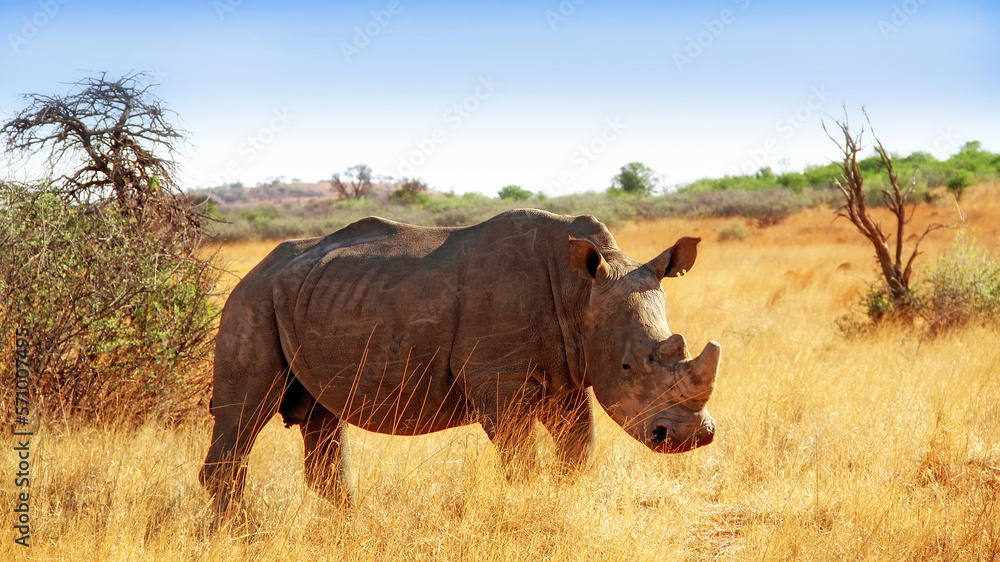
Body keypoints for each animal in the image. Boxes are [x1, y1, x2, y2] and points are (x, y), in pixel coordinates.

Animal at [200, 209, 720, 513]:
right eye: (628, 367)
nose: (689, 439)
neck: (581, 291)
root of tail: (254, 270)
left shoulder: (569, 372)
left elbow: (578, 448)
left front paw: (562, 497)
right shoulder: (498, 379)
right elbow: (520, 458)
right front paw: (528, 503)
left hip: (308, 298)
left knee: (322, 417)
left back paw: (352, 525)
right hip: (250, 303)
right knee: (245, 414)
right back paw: (238, 539)